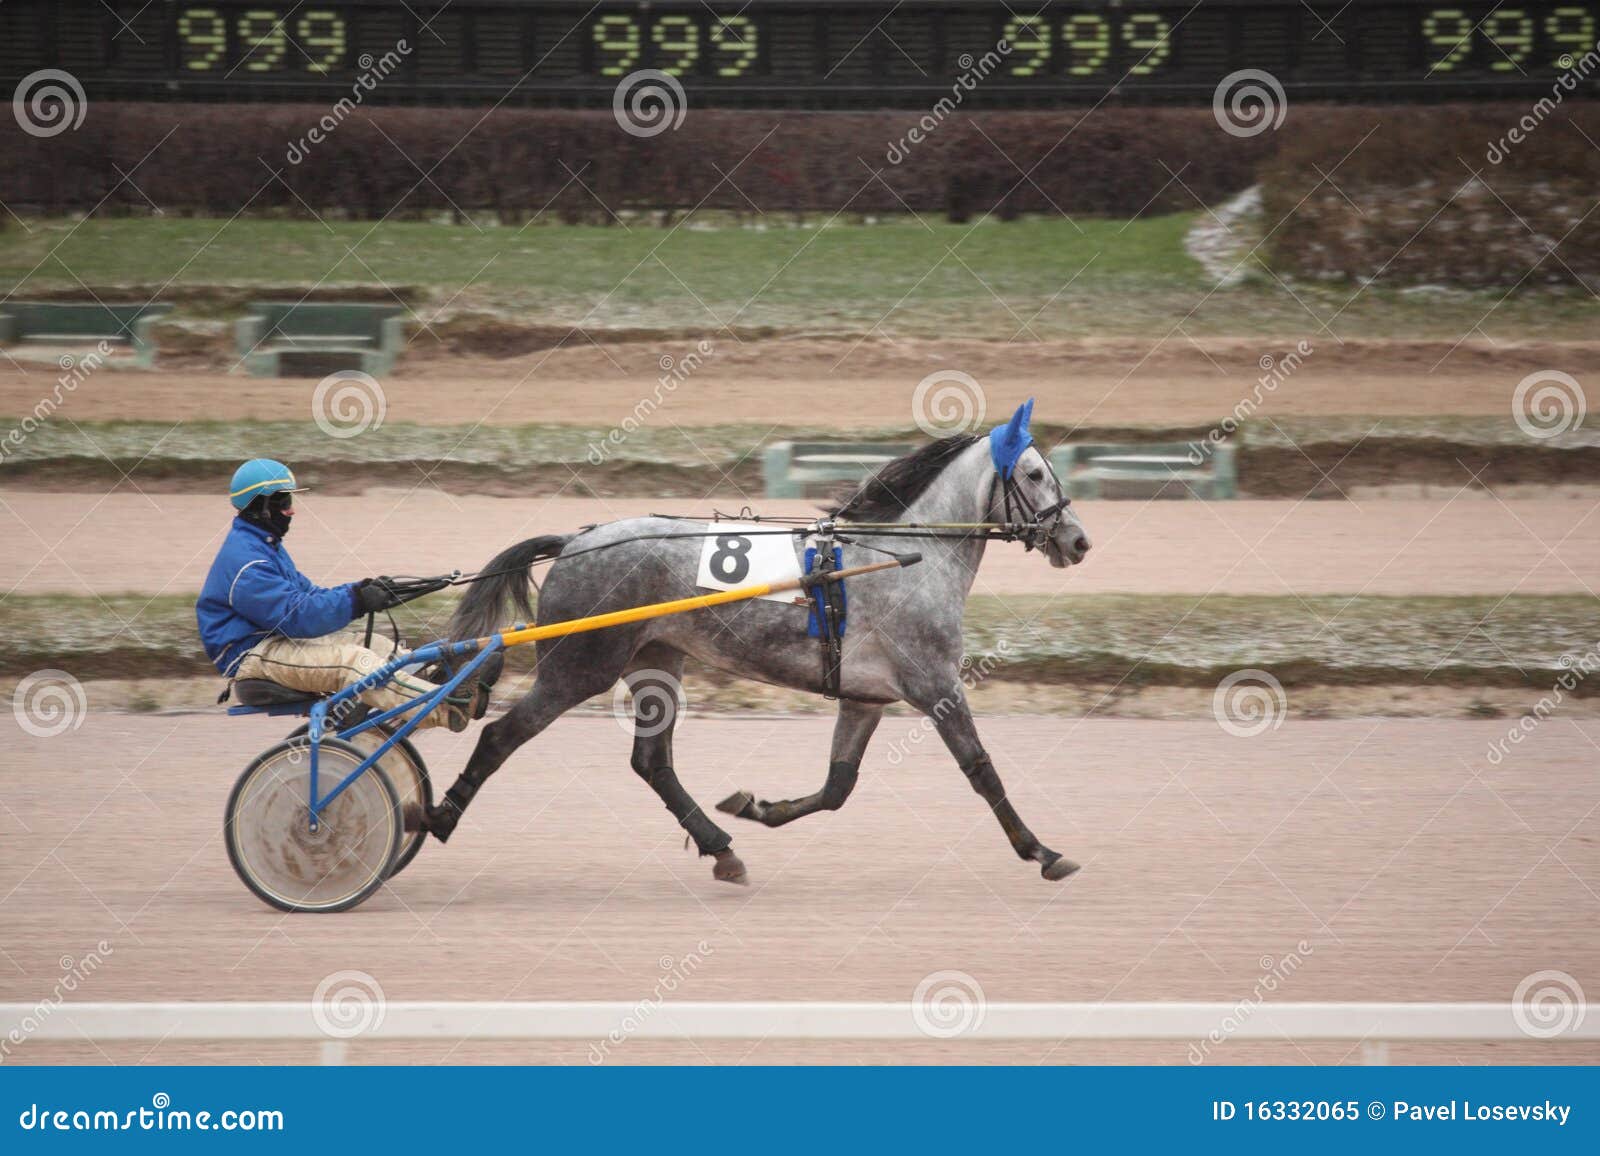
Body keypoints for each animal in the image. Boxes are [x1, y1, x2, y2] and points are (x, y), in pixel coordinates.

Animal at [426, 401, 1092, 885]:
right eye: (1035, 474)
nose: (1079, 540)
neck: (905, 557)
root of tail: (574, 541)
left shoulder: (865, 697)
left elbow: (838, 786)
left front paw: (756, 807)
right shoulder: (935, 684)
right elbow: (981, 769)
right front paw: (1042, 851)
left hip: (655, 661)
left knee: (652, 762)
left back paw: (721, 848)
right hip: (578, 668)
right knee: (500, 736)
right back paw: (438, 815)